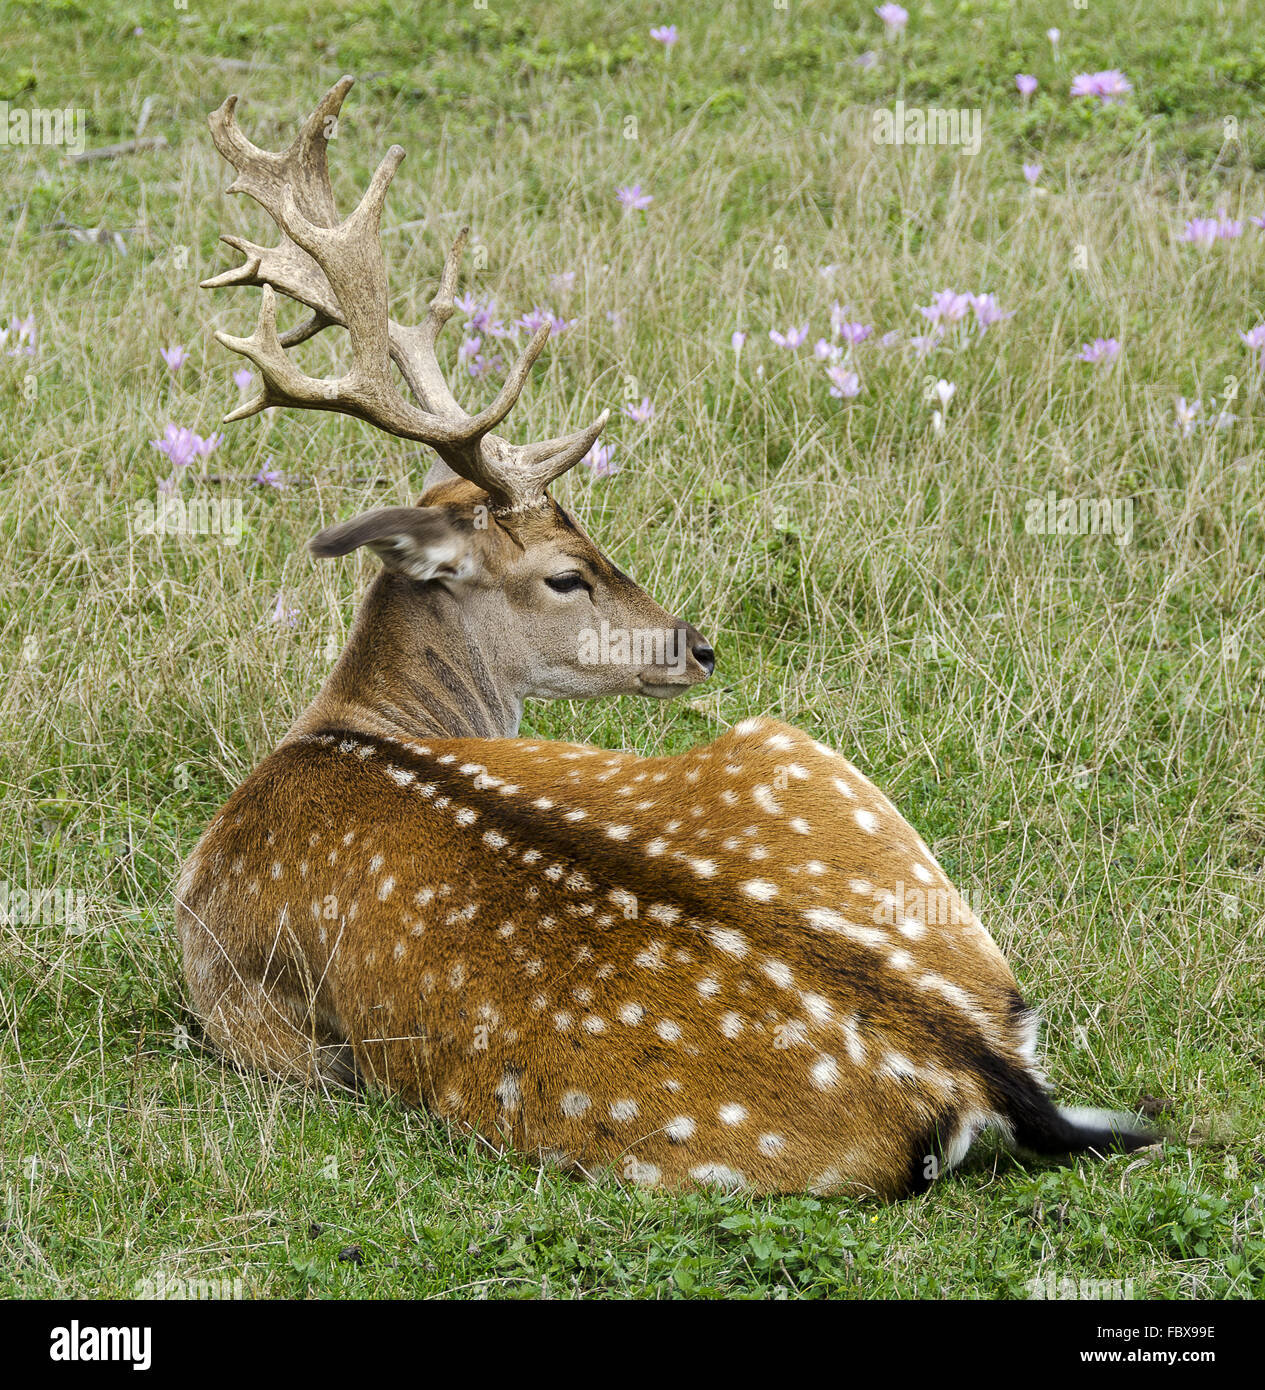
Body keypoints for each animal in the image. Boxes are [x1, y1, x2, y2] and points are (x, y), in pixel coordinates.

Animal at [176, 78, 1157, 1200]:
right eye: (566, 571)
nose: (695, 647)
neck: (338, 728)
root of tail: (970, 1061)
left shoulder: (240, 1005)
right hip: (805, 761)